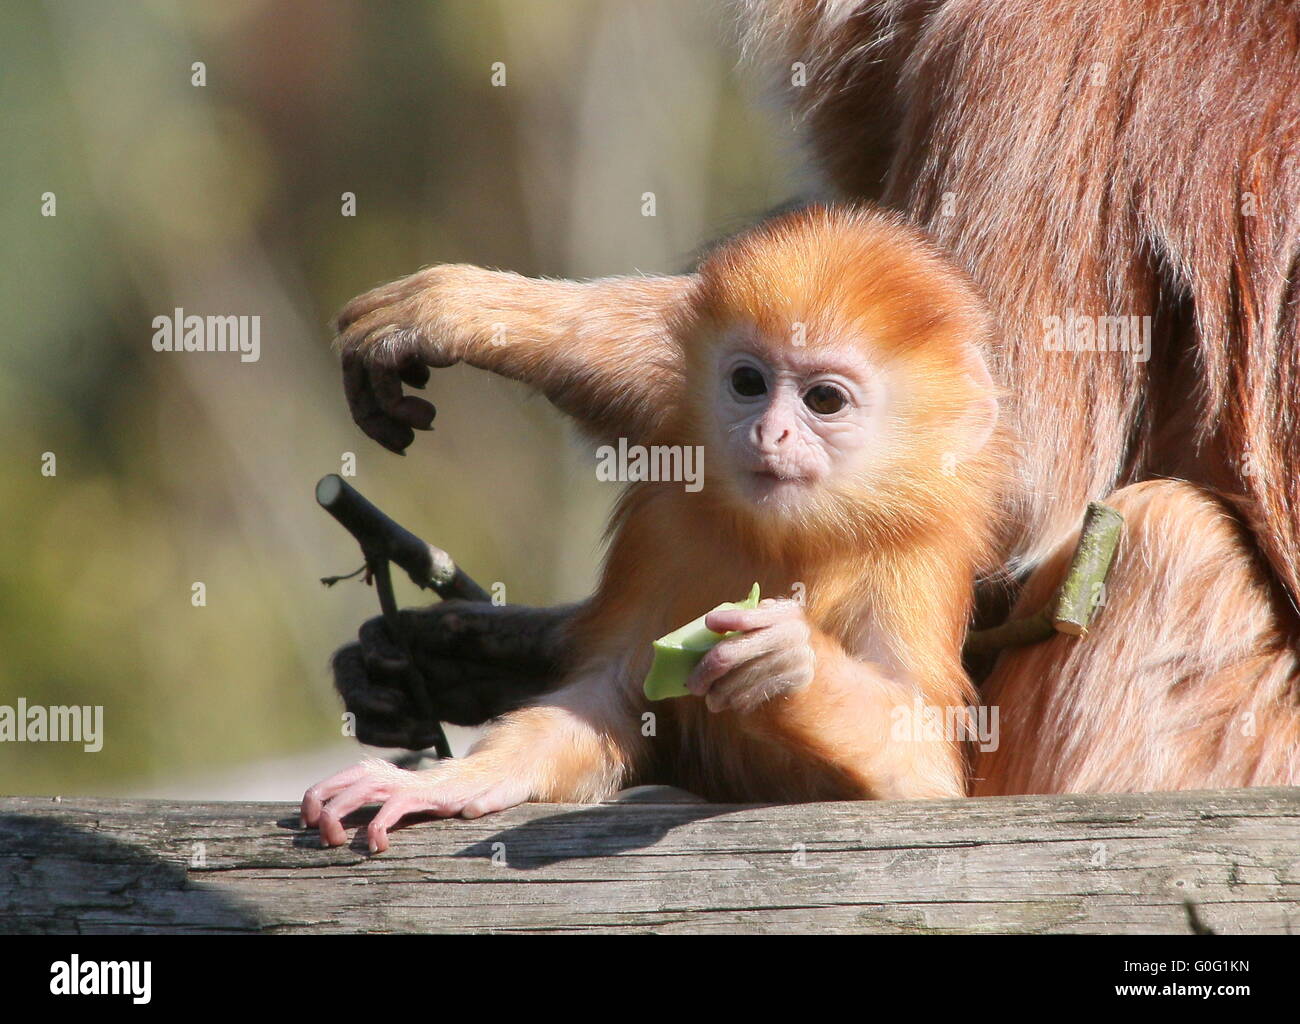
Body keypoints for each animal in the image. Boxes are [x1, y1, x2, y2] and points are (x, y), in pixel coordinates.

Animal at [301, 205, 1005, 851]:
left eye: (823, 400)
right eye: (748, 382)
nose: (769, 432)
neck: (781, 537)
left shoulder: (914, 560)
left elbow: (923, 786)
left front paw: (788, 662)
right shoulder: (668, 513)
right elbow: (604, 699)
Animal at [330, 0, 1300, 797]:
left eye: (824, 402)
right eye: (749, 386)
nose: (772, 430)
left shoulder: (1040, 42)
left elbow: (1017, 474)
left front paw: (490, 311)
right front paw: (470, 656)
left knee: (1166, 532)